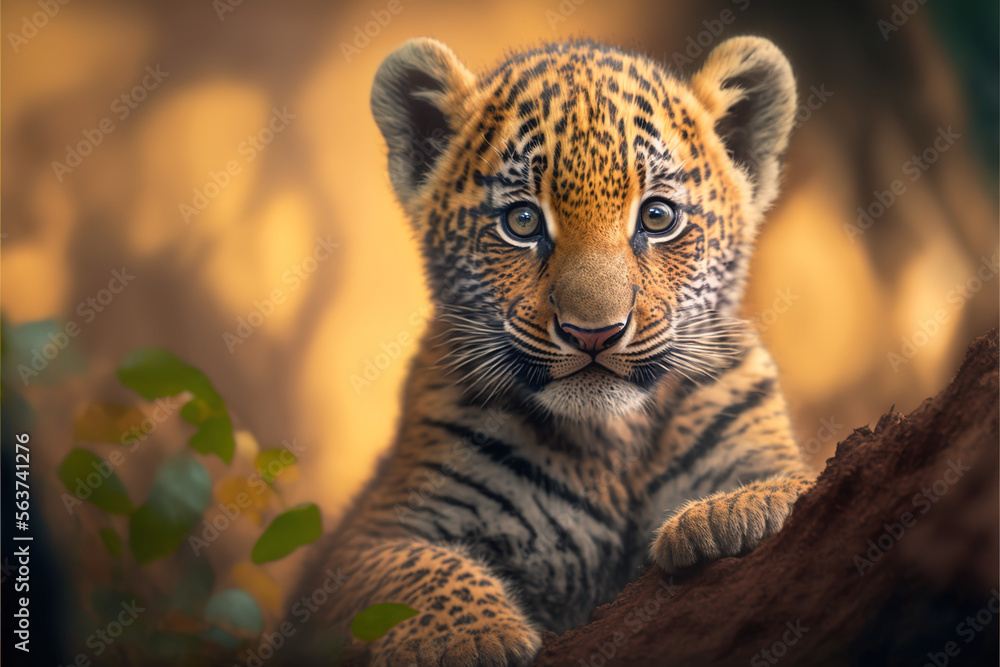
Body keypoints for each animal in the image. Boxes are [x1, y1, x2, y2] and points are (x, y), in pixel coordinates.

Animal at [288, 35, 813, 666]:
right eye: (522, 221)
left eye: (657, 216)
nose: (594, 333)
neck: (610, 440)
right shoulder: (367, 538)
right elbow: (414, 568)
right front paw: (471, 638)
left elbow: (794, 482)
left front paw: (729, 513)